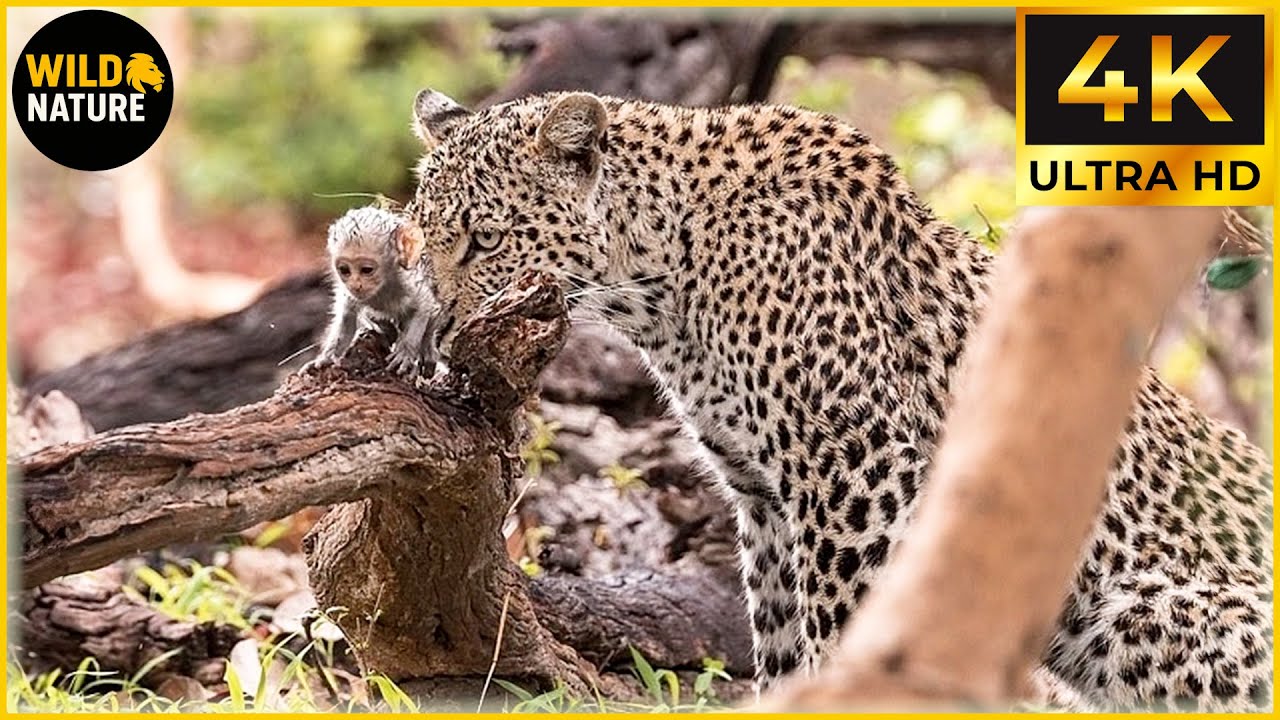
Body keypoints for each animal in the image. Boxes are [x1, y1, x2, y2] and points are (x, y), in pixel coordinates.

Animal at [401, 88, 1273, 712]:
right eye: (416, 240)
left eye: (484, 240)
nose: (437, 330)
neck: (660, 280)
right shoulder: (763, 495)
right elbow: (782, 633)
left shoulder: (856, 466)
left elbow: (846, 619)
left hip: (1134, 610)